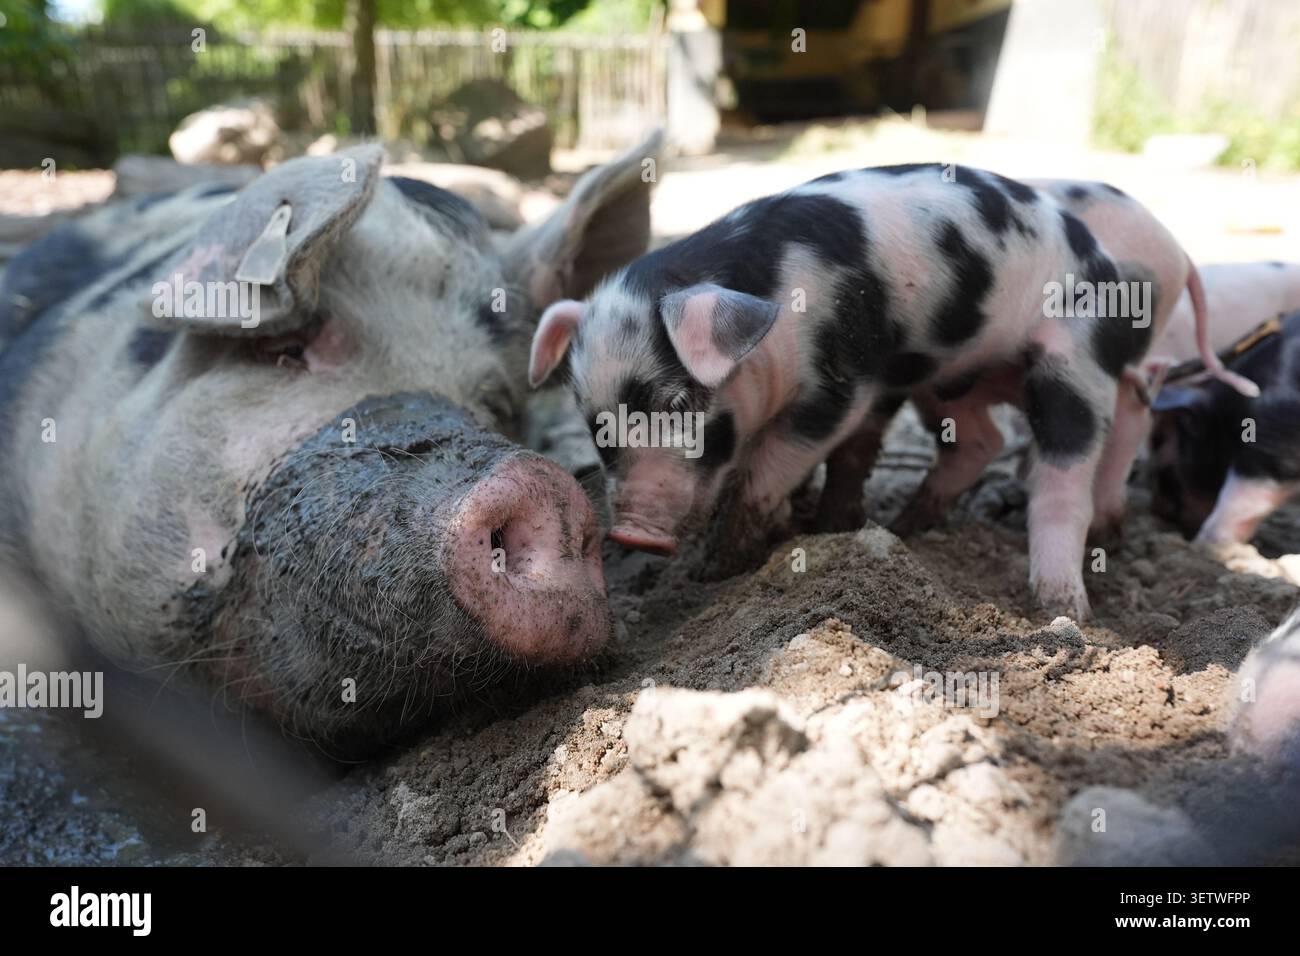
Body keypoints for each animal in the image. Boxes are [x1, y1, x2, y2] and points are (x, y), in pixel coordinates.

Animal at [528, 164, 1254, 619]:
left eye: (679, 406)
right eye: (595, 427)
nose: (634, 535)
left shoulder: (838, 382)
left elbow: (773, 464)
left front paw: (725, 564)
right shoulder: (881, 383)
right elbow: (848, 457)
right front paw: (827, 524)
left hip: (1073, 356)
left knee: (1069, 469)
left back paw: (1060, 605)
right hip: (947, 377)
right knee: (981, 438)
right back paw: (910, 525)